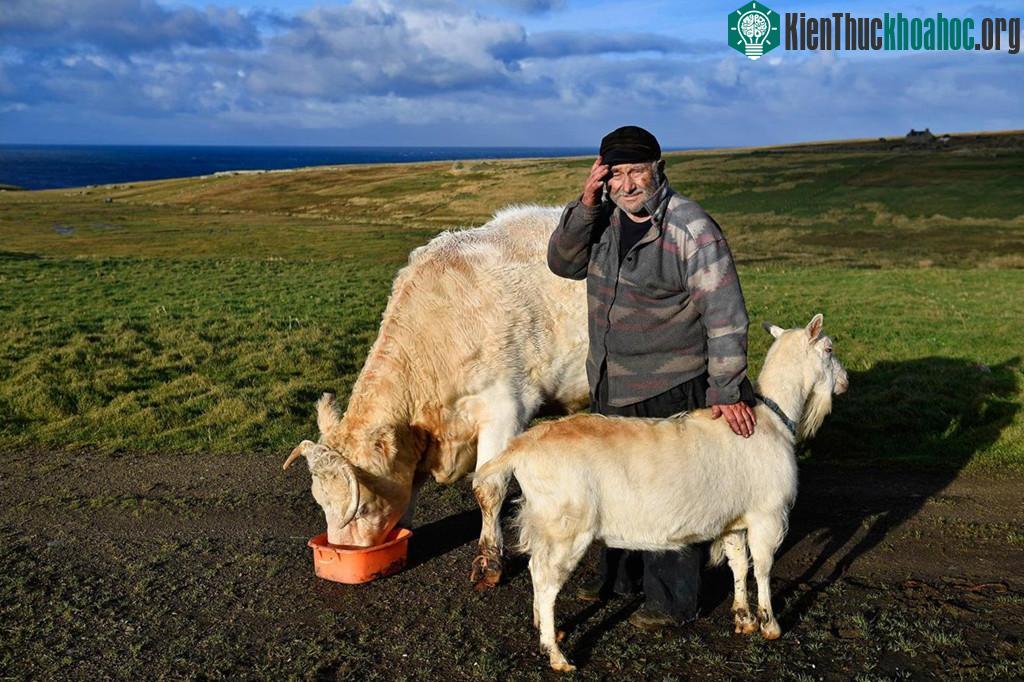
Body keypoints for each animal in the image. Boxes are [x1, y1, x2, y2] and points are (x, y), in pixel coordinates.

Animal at [471, 315, 847, 671]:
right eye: (829, 349)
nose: (845, 382)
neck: (772, 417)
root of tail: (522, 446)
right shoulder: (767, 514)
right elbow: (764, 568)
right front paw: (771, 625)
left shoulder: (734, 519)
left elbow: (739, 566)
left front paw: (744, 618)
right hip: (567, 526)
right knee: (547, 580)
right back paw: (557, 654)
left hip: (545, 521)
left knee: (535, 569)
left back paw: (545, 628)